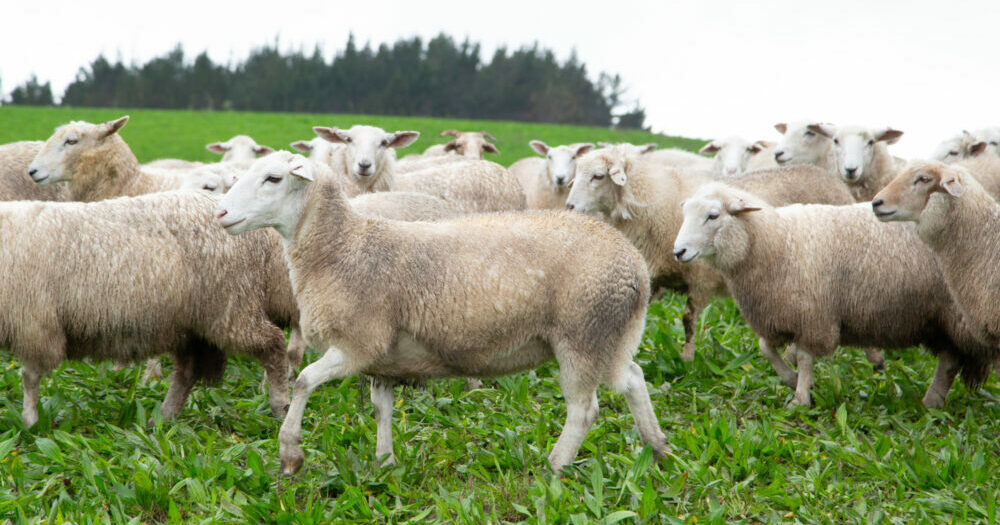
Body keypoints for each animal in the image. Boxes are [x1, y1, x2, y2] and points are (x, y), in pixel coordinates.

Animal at [4, 190, 299, 427]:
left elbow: (29, 377)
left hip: (229, 308)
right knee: (187, 372)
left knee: (273, 345)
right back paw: (162, 419)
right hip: (193, 324)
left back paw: (280, 406)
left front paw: (29, 422)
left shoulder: (34, 322)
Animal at [565, 144, 855, 362]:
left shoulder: (700, 276)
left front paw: (687, 360)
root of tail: (832, 180)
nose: (569, 206)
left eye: (598, 176)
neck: (651, 202)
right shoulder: (653, 275)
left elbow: (688, 320)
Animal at [673, 182, 994, 407]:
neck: (776, 241)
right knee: (950, 361)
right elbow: (765, 348)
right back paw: (932, 403)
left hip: (958, 315)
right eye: (684, 213)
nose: (678, 252)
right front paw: (789, 379)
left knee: (950, 360)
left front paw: (800, 397)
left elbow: (804, 358)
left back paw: (932, 401)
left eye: (713, 216)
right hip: (945, 318)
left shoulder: (814, 316)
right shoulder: (779, 312)